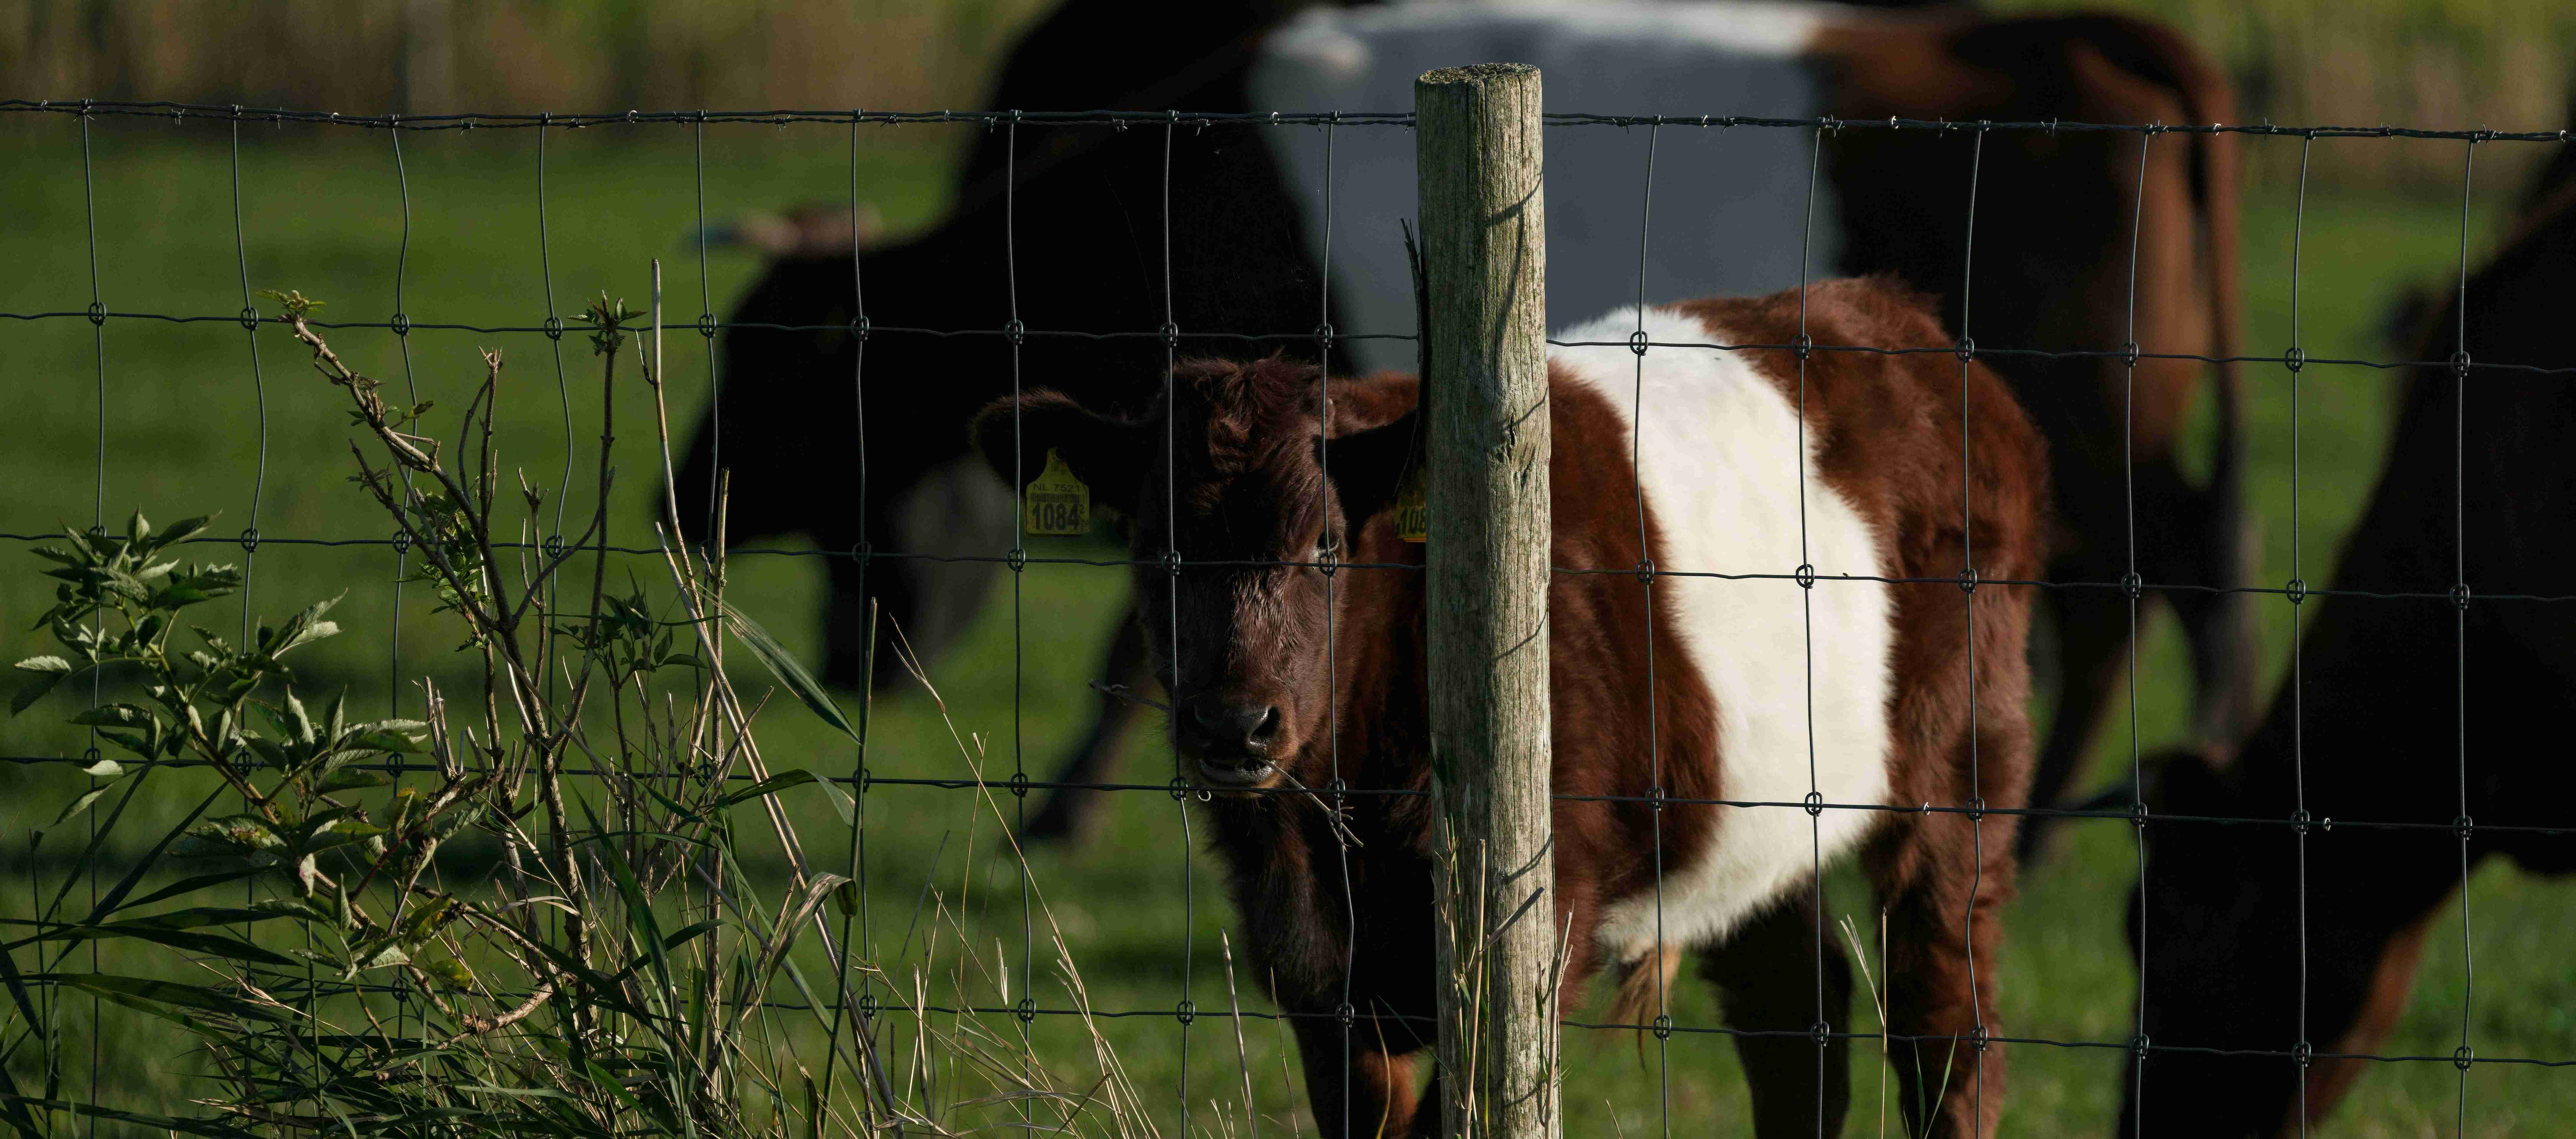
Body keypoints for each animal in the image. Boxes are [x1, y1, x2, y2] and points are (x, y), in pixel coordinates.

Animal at [673, 2, 2246, 852]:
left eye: (776, 366)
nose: (677, 500)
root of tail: (2071, 35)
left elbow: (1146, 641)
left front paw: (1070, 810)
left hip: (2093, 423)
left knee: (2145, 583)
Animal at [972, 277, 2051, 1137]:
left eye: (1327, 544)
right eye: (1153, 548)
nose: (1233, 724)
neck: (1334, 819)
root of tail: (1894, 315)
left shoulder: (1537, 916)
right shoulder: (1313, 972)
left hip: (1963, 757)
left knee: (1948, 1019)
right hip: (1755, 805)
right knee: (1796, 1009)